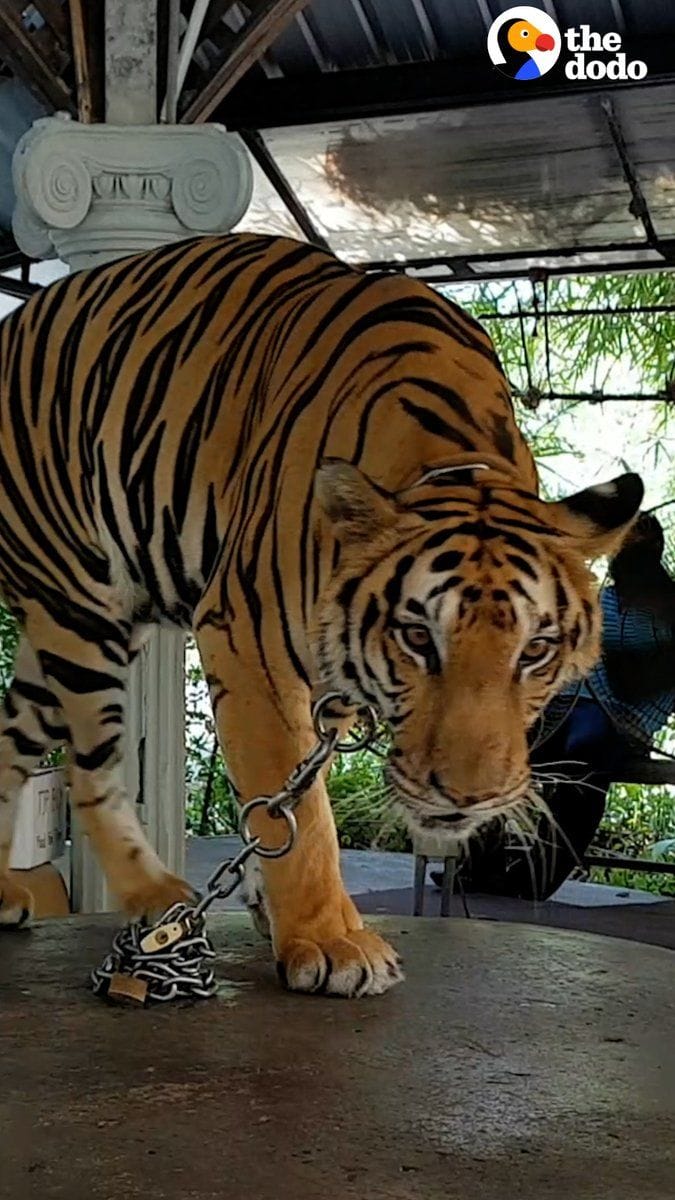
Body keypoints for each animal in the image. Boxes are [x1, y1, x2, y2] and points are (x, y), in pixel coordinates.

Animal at [0, 232, 642, 997]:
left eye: (535, 650)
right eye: (418, 638)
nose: (465, 797)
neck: (458, 462)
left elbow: (289, 793)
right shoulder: (245, 639)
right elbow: (299, 814)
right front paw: (330, 939)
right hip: (83, 609)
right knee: (90, 774)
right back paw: (156, 898)